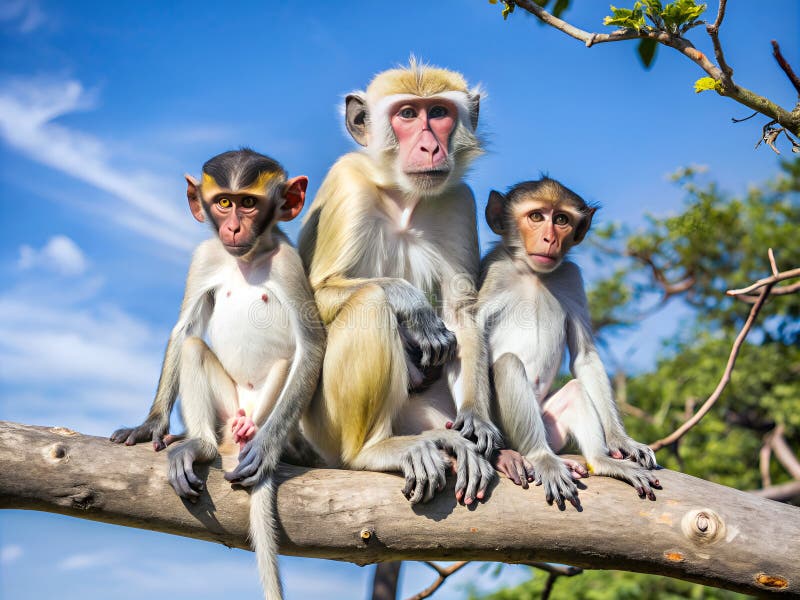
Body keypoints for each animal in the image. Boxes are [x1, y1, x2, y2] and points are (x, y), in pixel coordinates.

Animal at [111, 149, 324, 600]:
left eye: (249, 203)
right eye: (224, 202)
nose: (234, 225)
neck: (246, 258)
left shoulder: (288, 264)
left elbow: (312, 343)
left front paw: (265, 451)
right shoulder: (205, 255)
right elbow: (185, 330)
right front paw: (150, 424)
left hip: (266, 410)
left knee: (286, 362)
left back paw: (254, 439)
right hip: (226, 408)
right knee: (193, 348)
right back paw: (202, 445)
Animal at [298, 59, 499, 506]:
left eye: (438, 113)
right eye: (407, 114)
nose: (429, 147)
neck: (402, 196)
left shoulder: (459, 199)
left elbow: (461, 313)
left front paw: (476, 418)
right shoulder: (347, 182)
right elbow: (310, 300)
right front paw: (412, 305)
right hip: (326, 426)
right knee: (370, 300)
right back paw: (372, 450)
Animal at [477, 178, 660, 507]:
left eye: (561, 219)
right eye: (537, 216)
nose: (549, 238)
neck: (533, 274)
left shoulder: (571, 277)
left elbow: (585, 357)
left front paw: (622, 440)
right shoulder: (495, 271)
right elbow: (474, 337)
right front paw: (479, 427)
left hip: (552, 428)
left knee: (575, 389)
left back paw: (603, 461)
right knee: (508, 363)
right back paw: (540, 458)